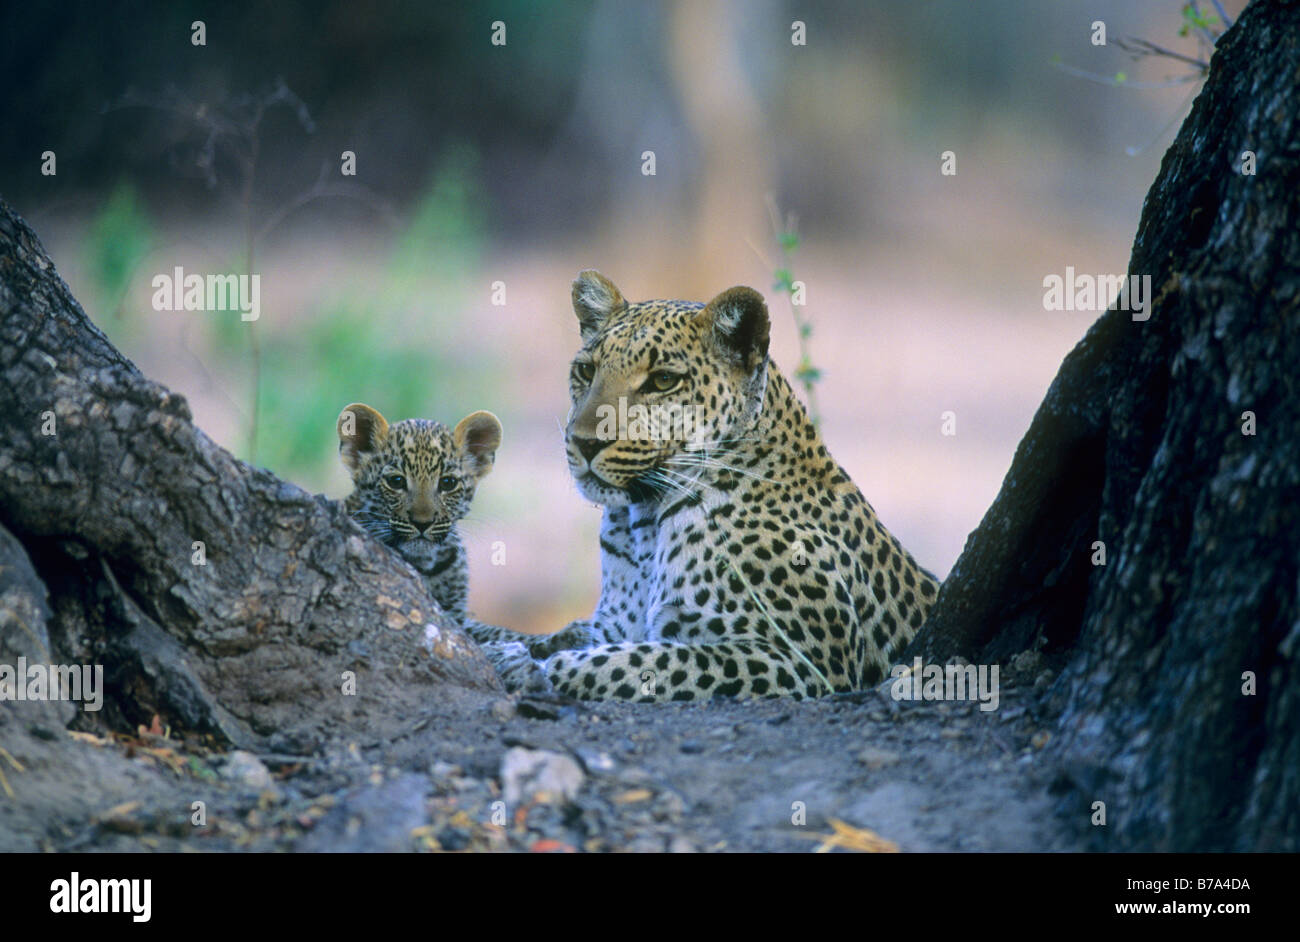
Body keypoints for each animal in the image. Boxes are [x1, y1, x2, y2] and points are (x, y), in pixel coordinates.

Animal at [496, 270, 940, 701]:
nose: (584, 442)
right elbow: (568, 636)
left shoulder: (802, 661)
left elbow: (635, 662)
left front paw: (527, 667)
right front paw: (511, 649)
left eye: (662, 381)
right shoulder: (612, 625)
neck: (643, 525)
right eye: (586, 371)